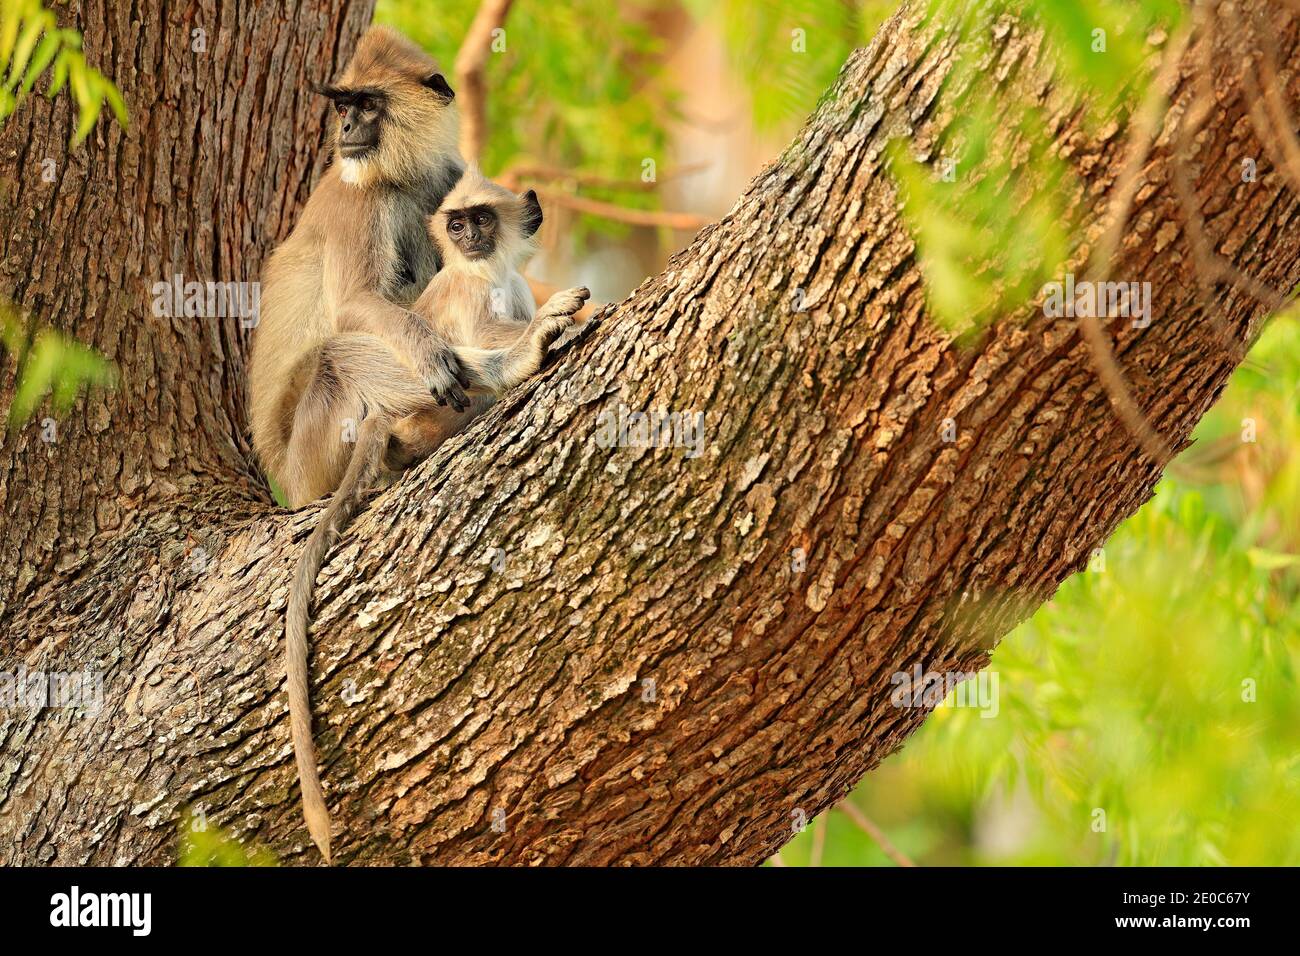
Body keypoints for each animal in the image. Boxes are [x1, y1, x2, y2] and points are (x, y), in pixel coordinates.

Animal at [248, 26, 472, 864]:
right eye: (342, 104)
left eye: (364, 104)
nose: (344, 128)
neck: (403, 177)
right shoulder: (356, 198)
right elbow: (356, 307)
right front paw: (441, 362)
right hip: (316, 442)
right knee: (339, 353)